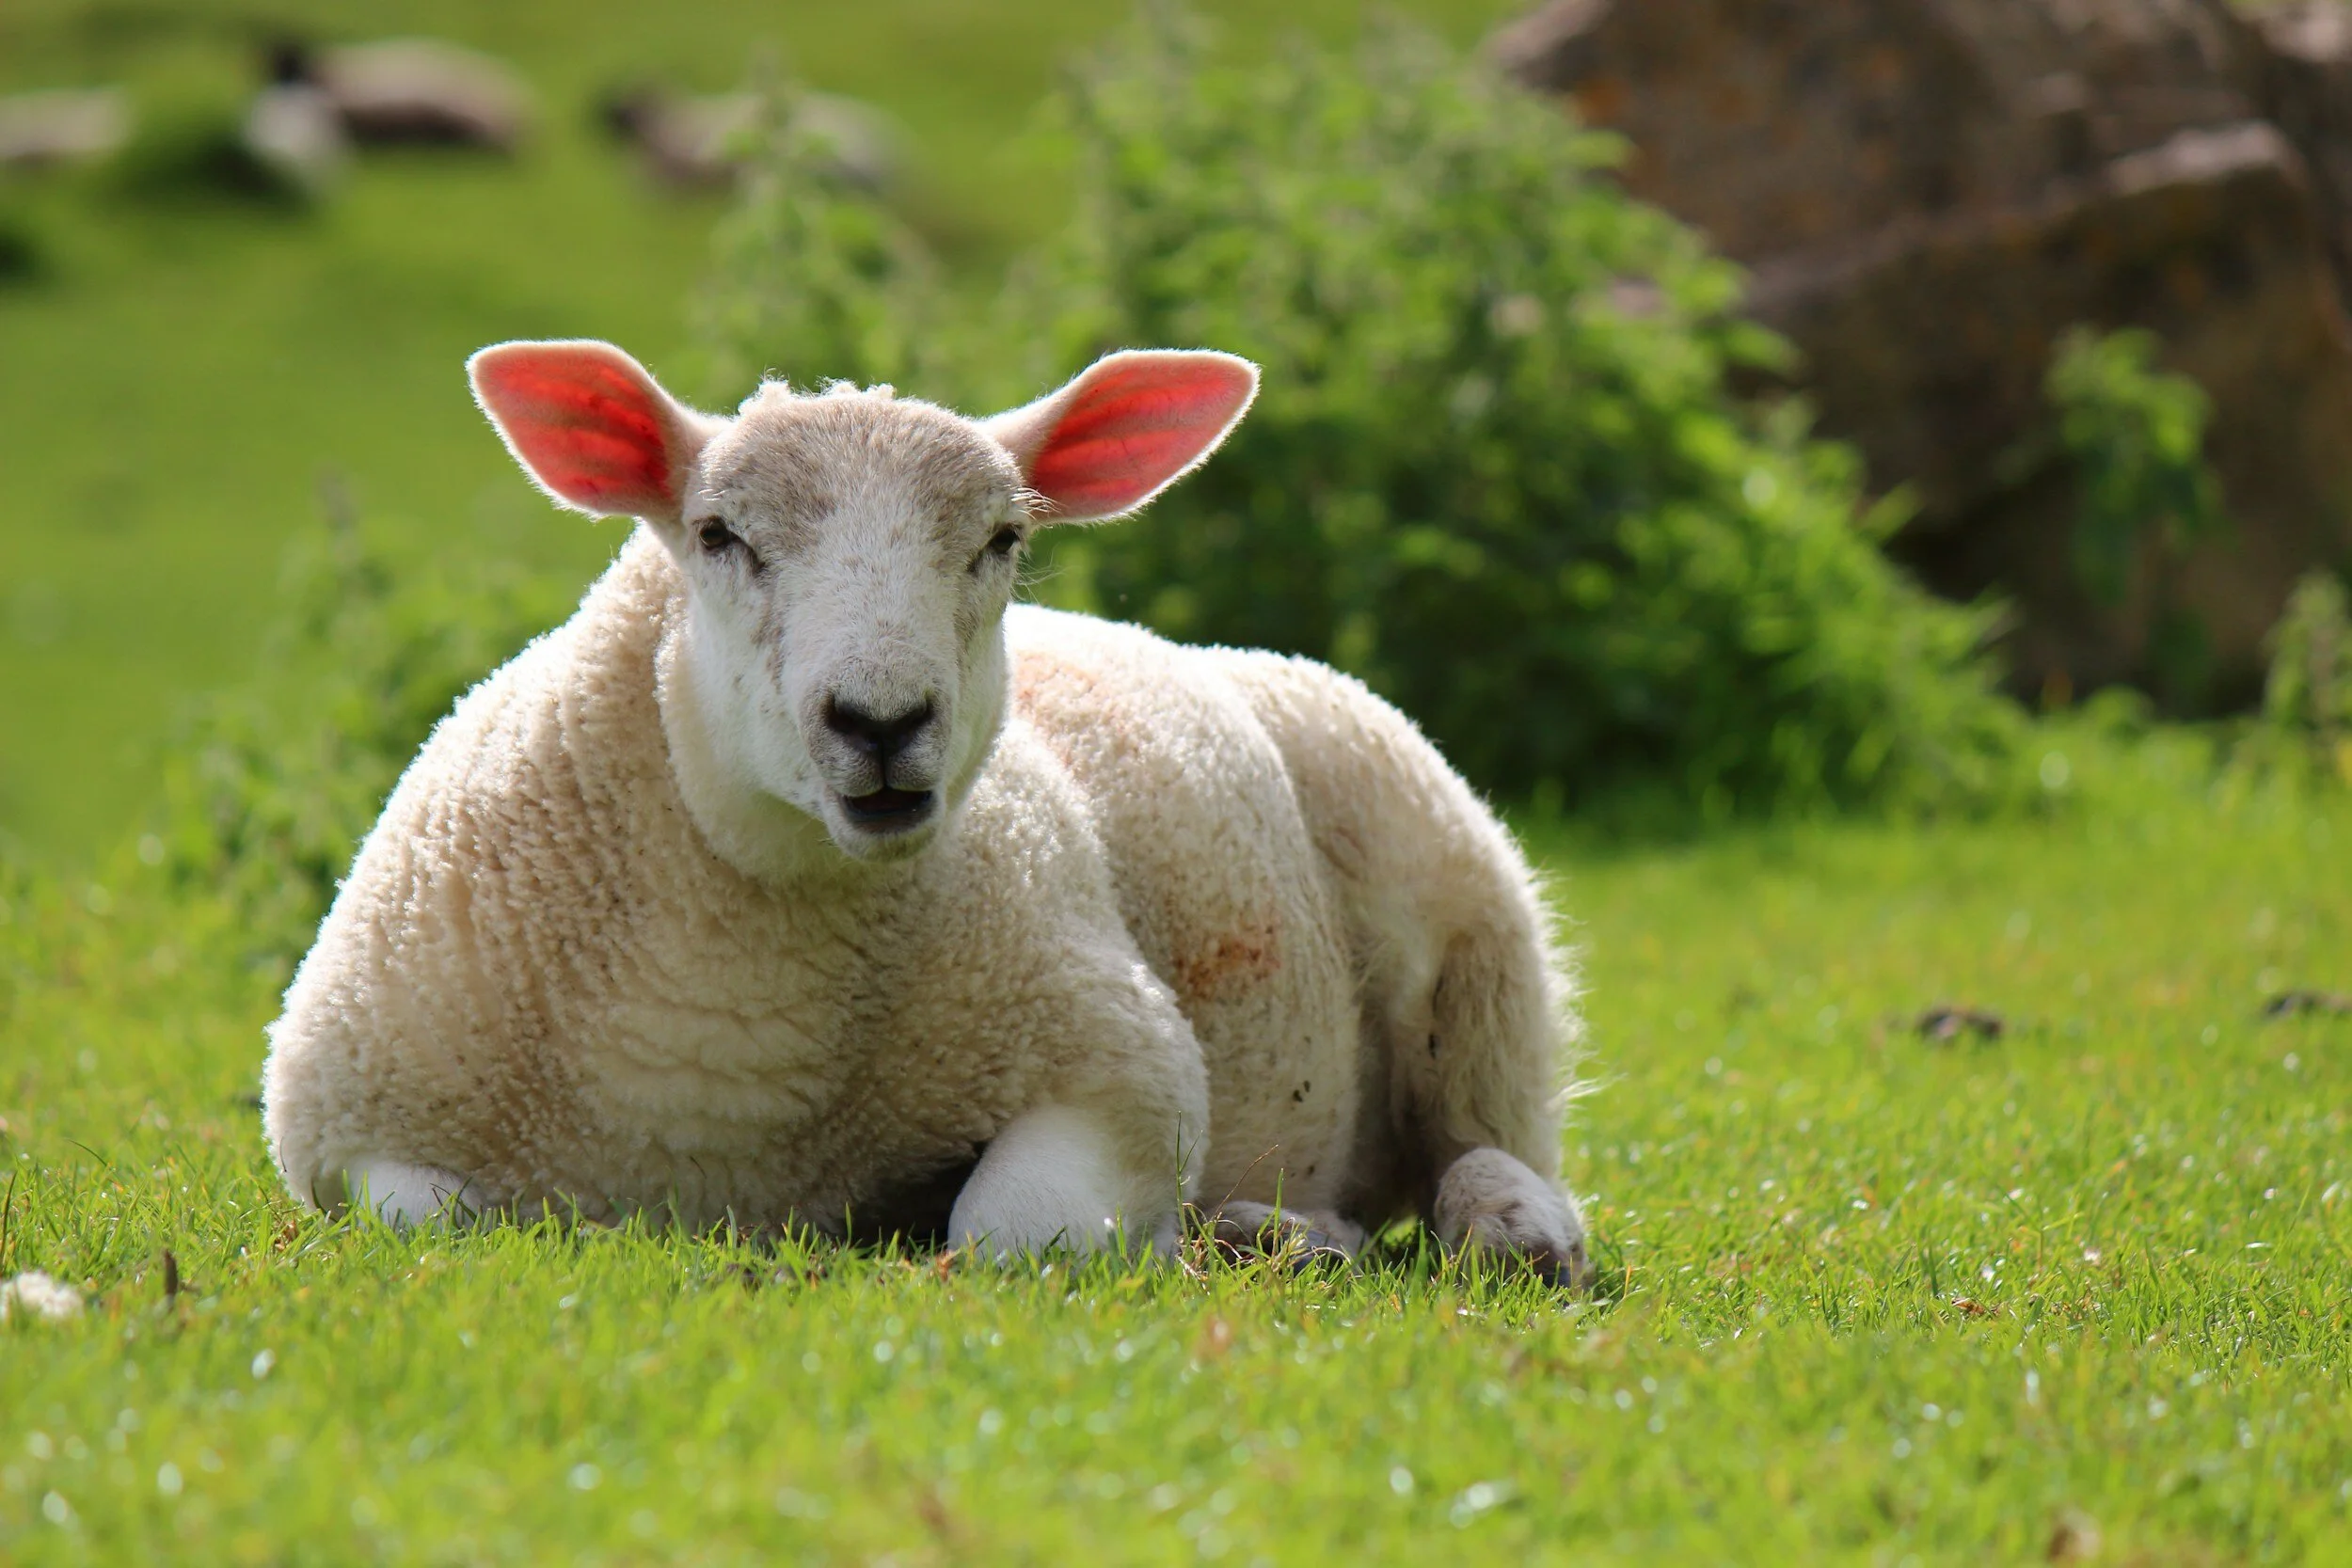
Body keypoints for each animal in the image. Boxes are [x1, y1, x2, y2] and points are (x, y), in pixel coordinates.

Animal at [261, 339, 1590, 1283]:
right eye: (718, 532)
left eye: (999, 538)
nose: (882, 721)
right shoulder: (347, 1130)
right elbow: (444, 1222)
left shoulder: (1122, 1057)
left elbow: (1013, 1229)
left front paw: (1174, 1239)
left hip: (1475, 939)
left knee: (1487, 1135)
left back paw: (1500, 1228)